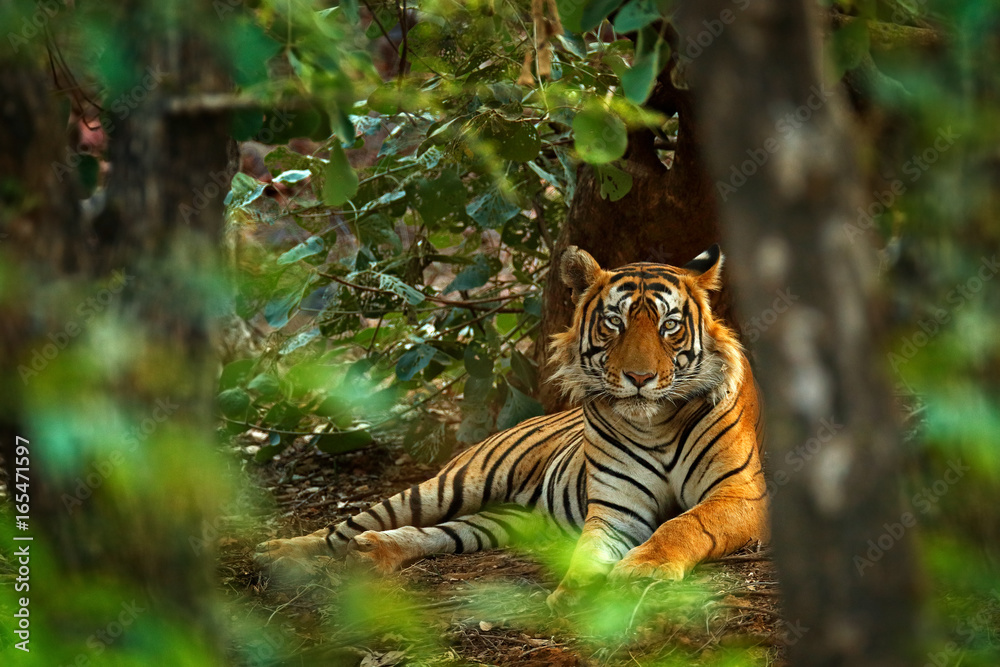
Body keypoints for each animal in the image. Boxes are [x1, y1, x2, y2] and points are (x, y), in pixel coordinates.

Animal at [255, 245, 768, 607]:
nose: (638, 378)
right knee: (348, 525)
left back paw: (373, 552)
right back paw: (280, 552)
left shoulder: (740, 493)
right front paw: (576, 593)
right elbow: (589, 550)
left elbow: (684, 524)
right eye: (614, 323)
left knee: (439, 533)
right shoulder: (616, 509)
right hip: (452, 485)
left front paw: (643, 570)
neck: (655, 423)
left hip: (502, 520)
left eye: (669, 326)